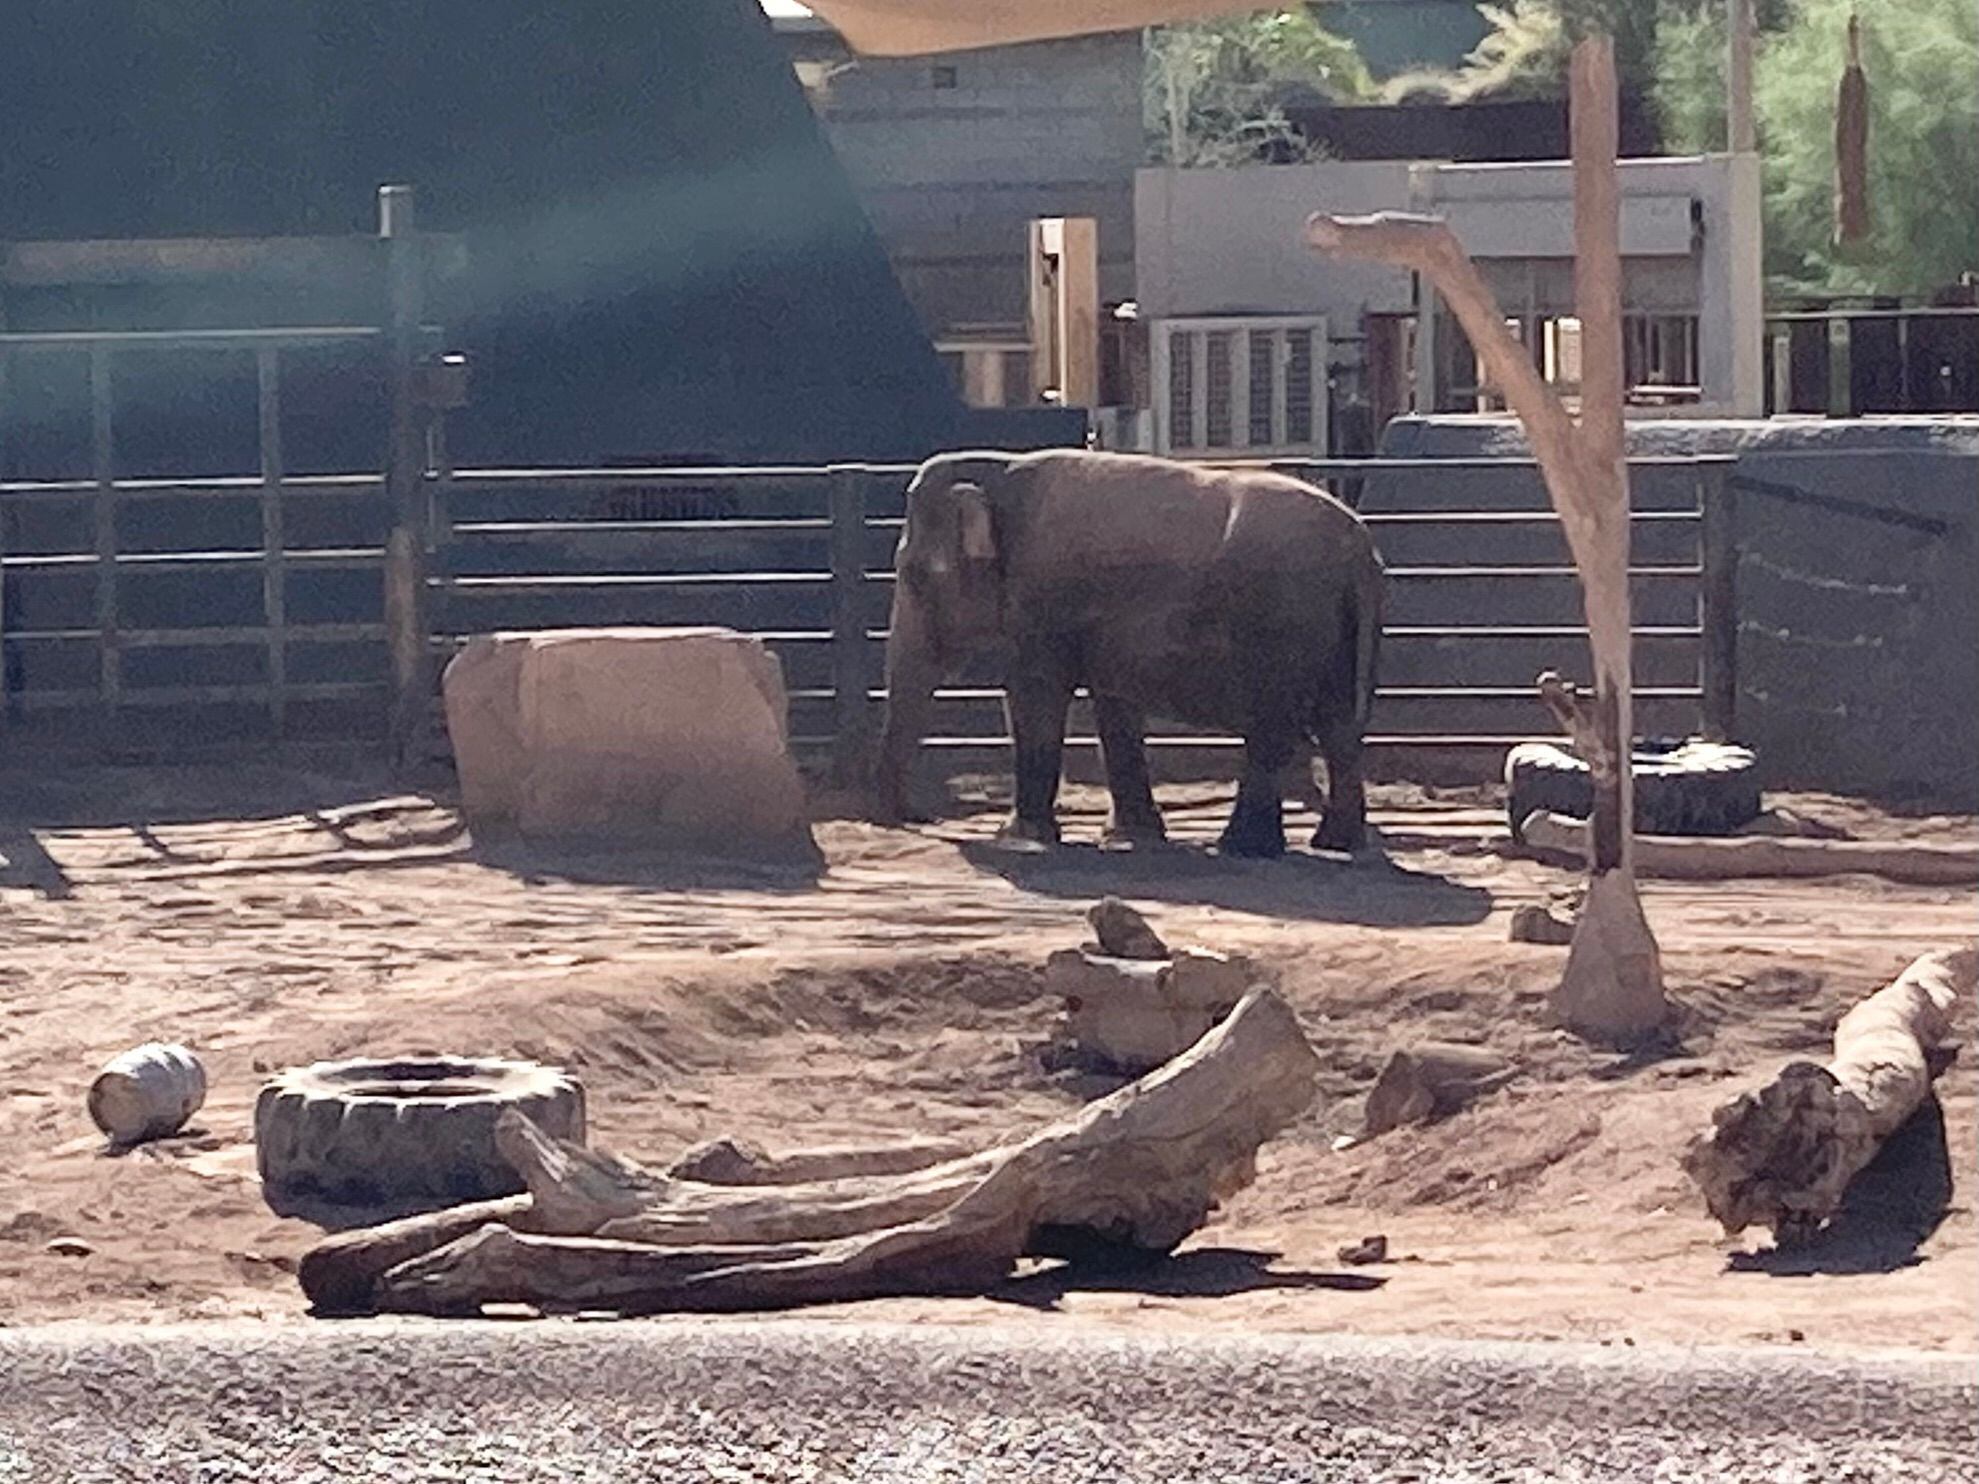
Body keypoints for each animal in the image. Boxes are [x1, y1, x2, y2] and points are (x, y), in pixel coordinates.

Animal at [872, 448, 1384, 858]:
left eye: (915, 574)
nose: (922, 819)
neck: (998, 469)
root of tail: (1360, 547)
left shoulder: (1045, 598)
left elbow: (1033, 695)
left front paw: (1018, 837)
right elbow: (1114, 705)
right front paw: (1130, 837)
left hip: (1281, 629)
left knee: (1274, 729)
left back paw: (1242, 847)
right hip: (1334, 632)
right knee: (1338, 726)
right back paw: (1333, 844)